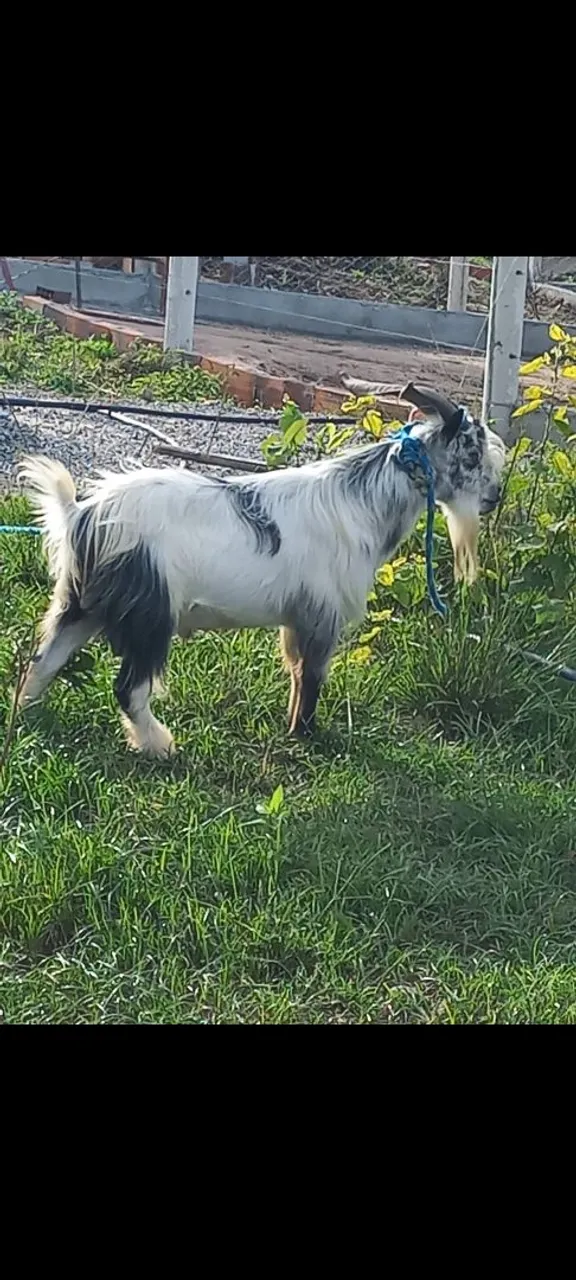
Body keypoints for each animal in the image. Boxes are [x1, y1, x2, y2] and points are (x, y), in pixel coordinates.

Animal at [17, 382, 506, 758]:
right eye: (472, 455)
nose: (494, 498)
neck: (362, 502)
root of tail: (82, 515)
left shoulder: (298, 617)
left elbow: (295, 672)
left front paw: (292, 728)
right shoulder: (323, 613)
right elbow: (313, 676)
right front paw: (307, 735)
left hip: (78, 604)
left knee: (41, 663)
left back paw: (26, 716)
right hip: (150, 611)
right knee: (130, 687)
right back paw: (159, 744)